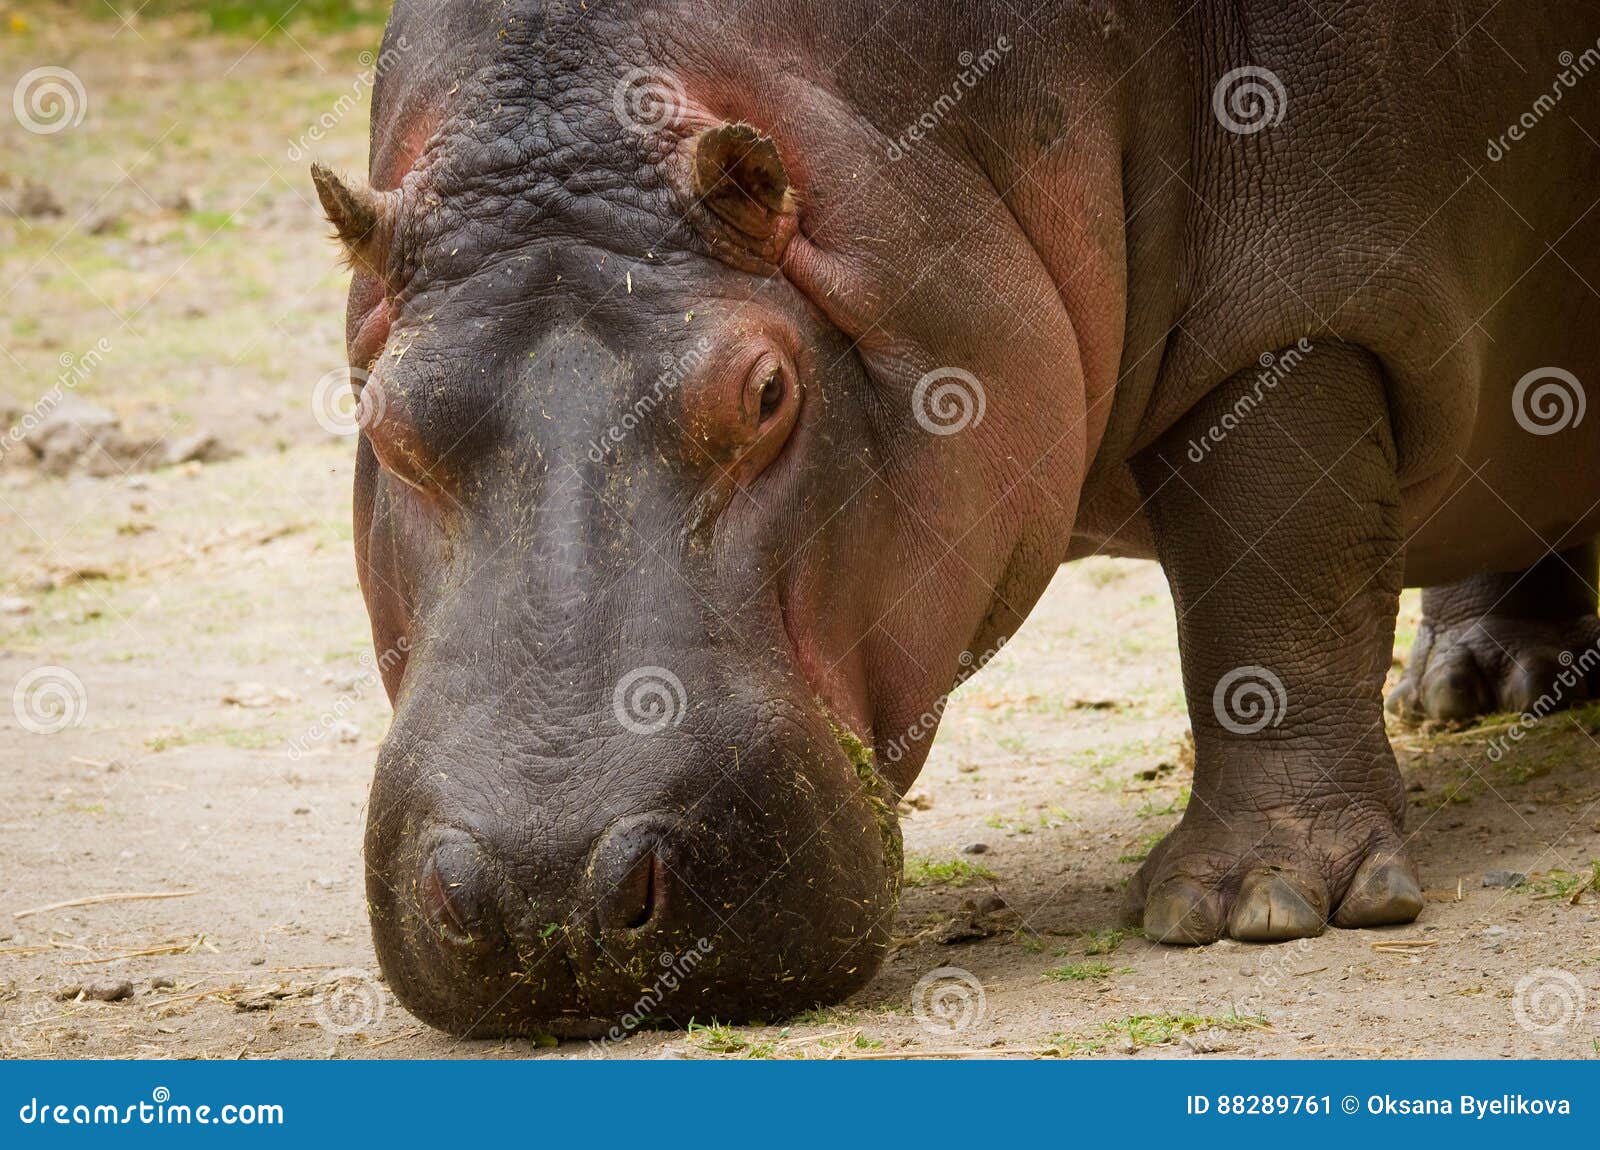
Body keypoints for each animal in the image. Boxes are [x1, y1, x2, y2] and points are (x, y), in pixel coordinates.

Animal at [312, 0, 1600, 1036]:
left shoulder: (1300, 312)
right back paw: (1470, 686)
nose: (552, 892)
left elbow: (1279, 577)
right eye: (379, 410)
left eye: (767, 392)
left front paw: (1256, 903)